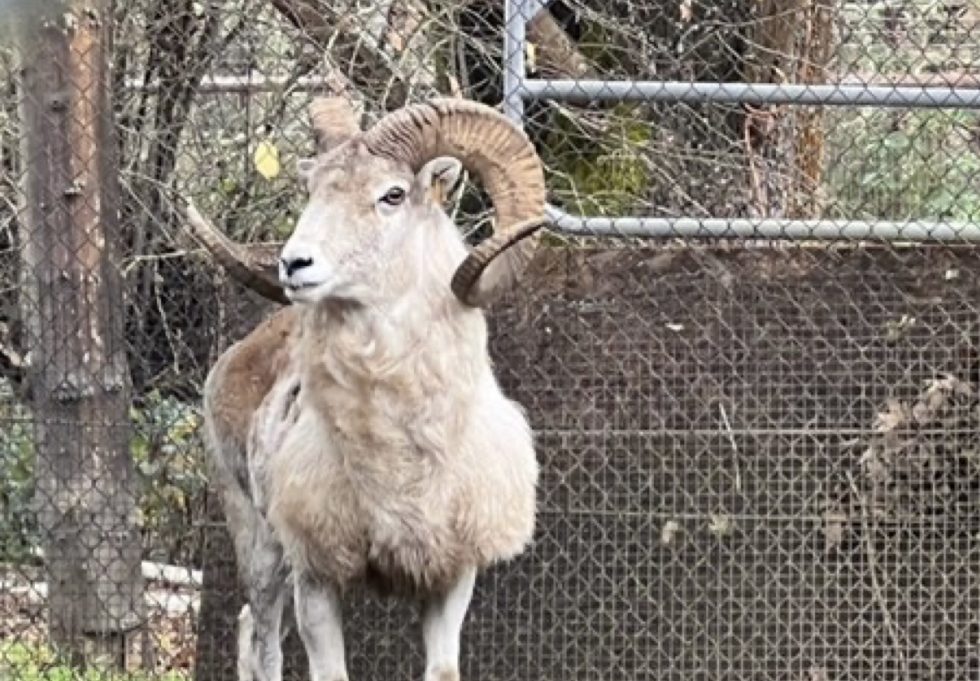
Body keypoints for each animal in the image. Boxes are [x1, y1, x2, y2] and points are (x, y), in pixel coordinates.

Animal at [185, 95, 547, 681]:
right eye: (313, 190)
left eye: (392, 195)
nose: (294, 264)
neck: (400, 465)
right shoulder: (317, 576)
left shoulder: (451, 579)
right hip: (261, 549)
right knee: (261, 646)